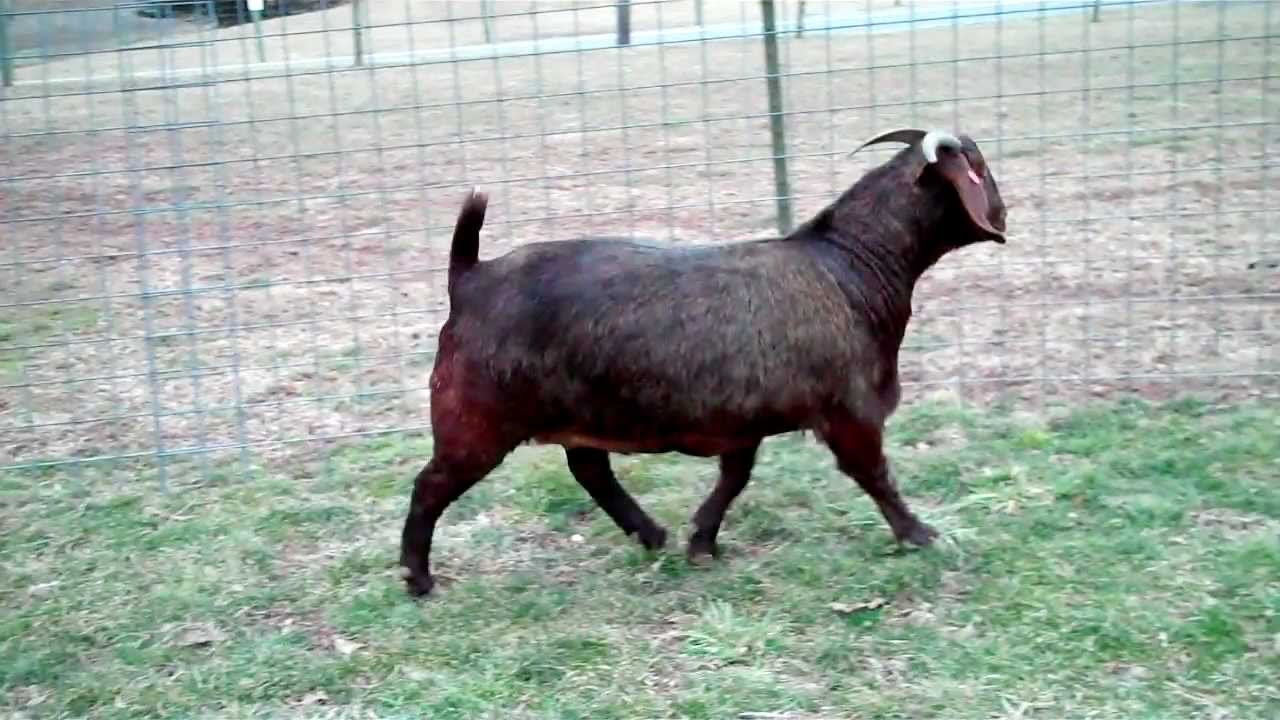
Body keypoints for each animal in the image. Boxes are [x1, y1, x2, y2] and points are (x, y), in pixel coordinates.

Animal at [399, 128, 1008, 597]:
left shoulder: (744, 418)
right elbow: (875, 475)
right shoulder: (848, 411)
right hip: (476, 418)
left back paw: (650, 534)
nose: (1005, 213)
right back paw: (417, 578)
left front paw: (701, 542)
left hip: (579, 411)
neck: (850, 268)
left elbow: (734, 479)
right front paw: (920, 535)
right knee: (431, 484)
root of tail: (470, 276)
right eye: (978, 167)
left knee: (590, 469)